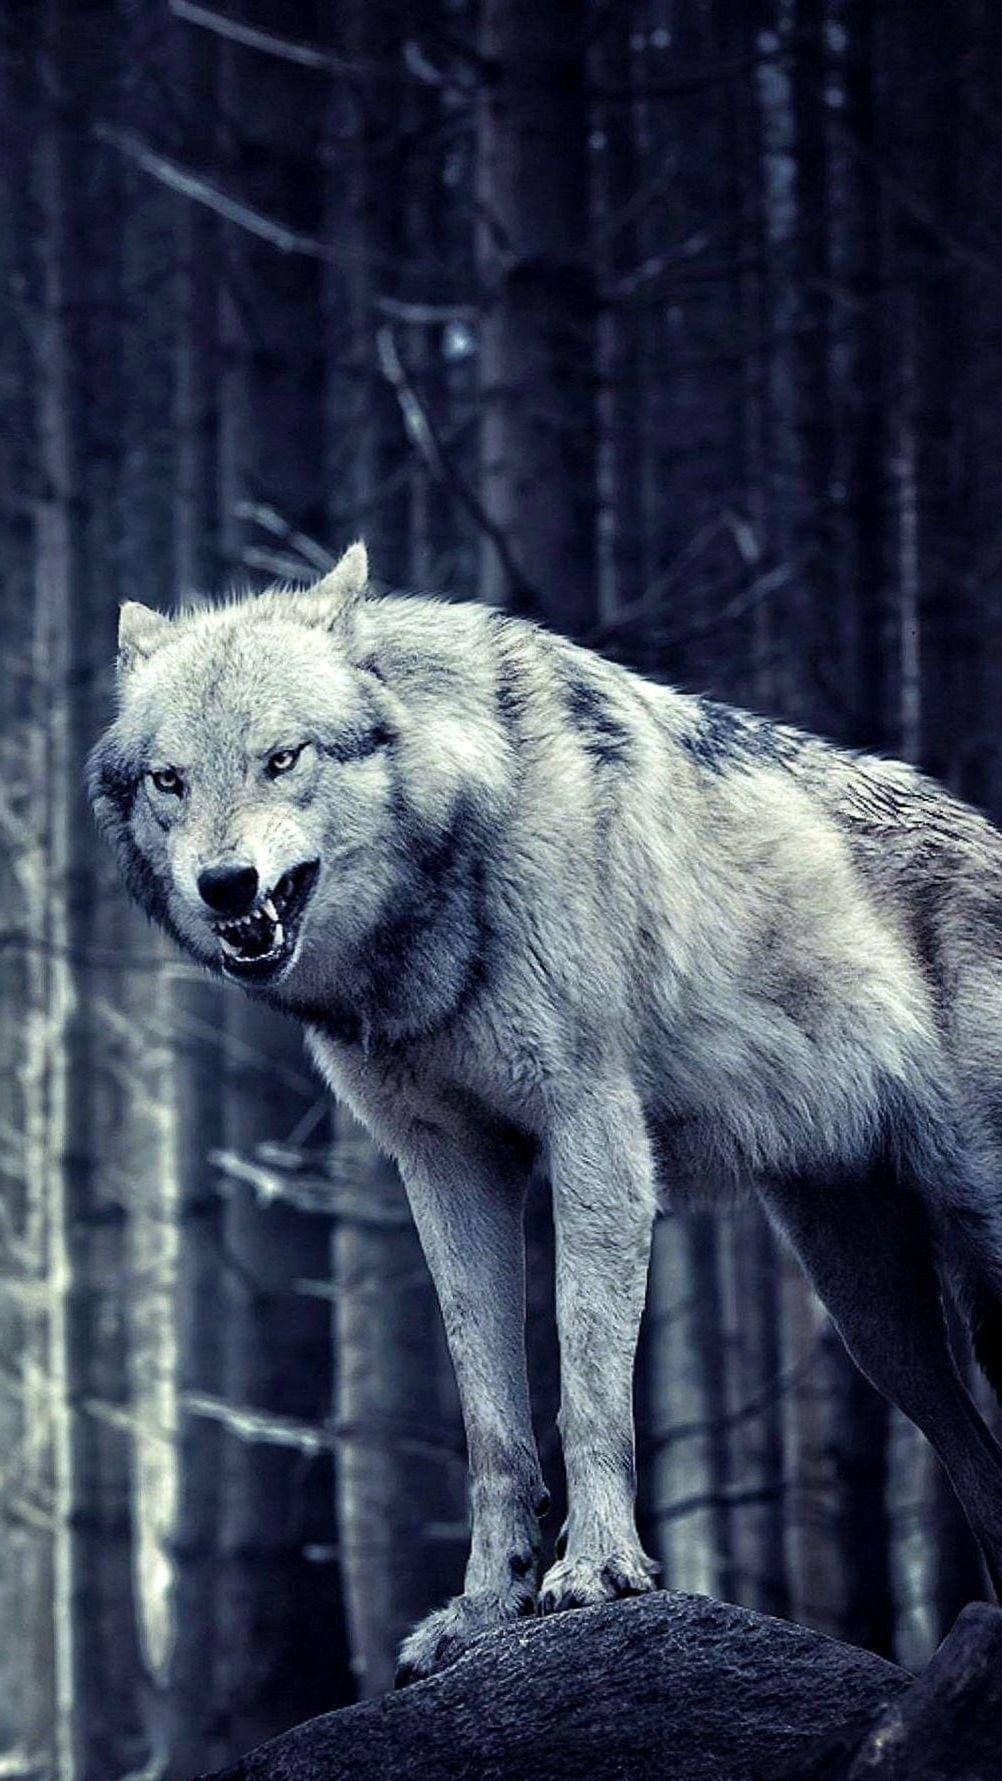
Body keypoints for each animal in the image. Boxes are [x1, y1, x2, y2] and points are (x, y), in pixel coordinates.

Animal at [89, 541, 1002, 1682]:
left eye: (283, 757)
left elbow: (589, 1381)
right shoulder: (445, 1167)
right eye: (170, 779)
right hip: (873, 1317)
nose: (223, 883)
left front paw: (597, 1569)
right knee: (978, 1463)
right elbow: (491, 1421)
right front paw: (485, 1607)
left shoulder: (594, 1130)